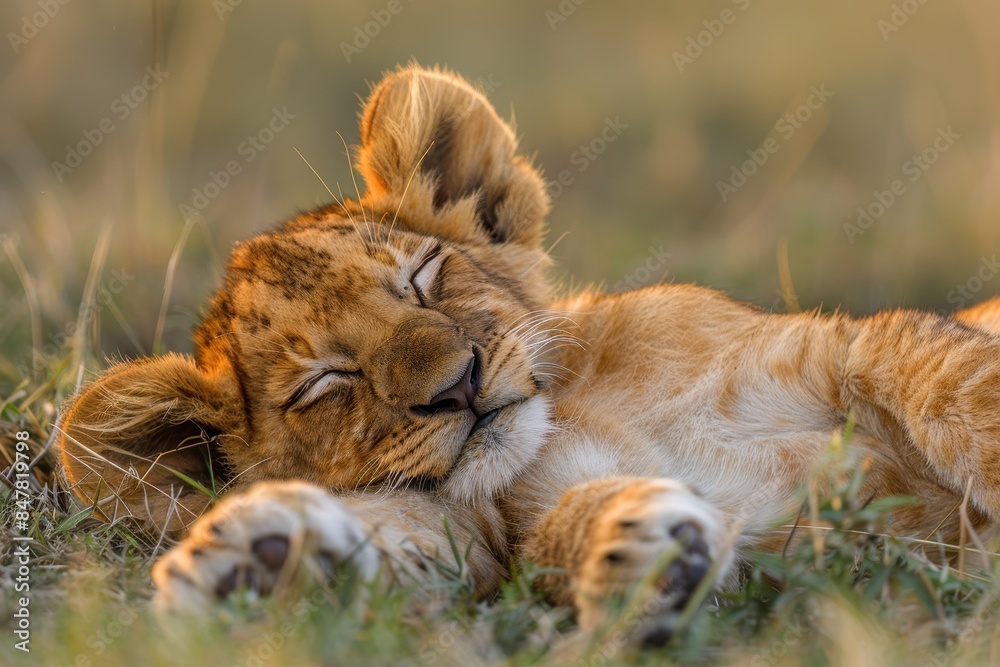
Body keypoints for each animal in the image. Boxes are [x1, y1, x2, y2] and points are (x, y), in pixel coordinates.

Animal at [57, 65, 1000, 644]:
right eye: (328, 380)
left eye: (423, 278)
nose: (458, 386)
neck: (576, 400)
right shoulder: (483, 541)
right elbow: (518, 539)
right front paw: (252, 560)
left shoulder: (839, 343)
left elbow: (952, 382)